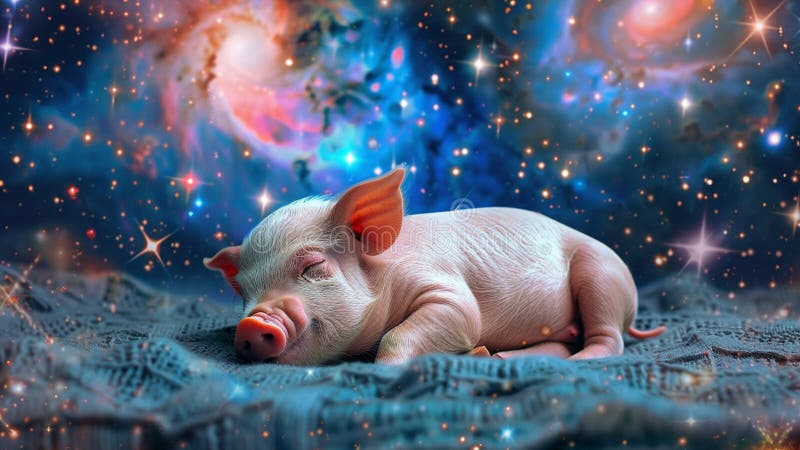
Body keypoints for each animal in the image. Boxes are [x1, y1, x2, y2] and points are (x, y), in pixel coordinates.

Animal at [204, 168, 665, 365]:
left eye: (313, 264)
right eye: (244, 293)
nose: (252, 324)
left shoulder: (447, 293)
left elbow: (418, 329)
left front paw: (385, 370)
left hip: (600, 277)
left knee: (609, 340)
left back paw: (578, 361)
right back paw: (494, 356)